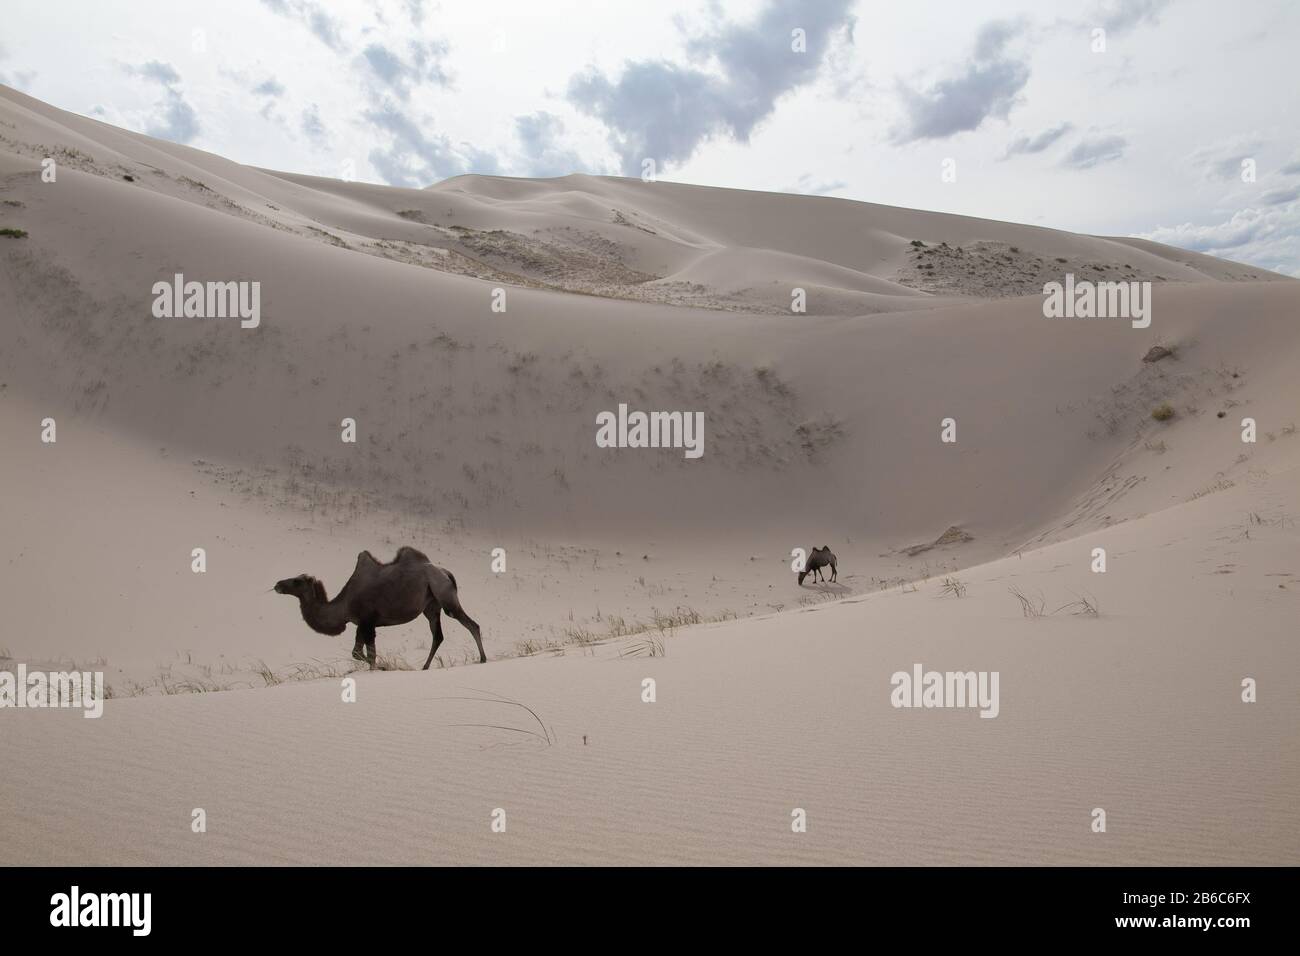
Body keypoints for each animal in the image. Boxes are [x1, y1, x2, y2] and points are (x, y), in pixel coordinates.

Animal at [274, 546, 484, 670]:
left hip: (444, 595)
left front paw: (382, 667)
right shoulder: (363, 623)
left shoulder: (366, 621)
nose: (277, 584)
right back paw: (425, 666)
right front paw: (380, 667)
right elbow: (361, 652)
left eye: (296, 581)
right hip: (431, 605)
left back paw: (482, 658)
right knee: (437, 634)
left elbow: (366, 654)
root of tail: (446, 572)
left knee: (471, 624)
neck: (343, 606)